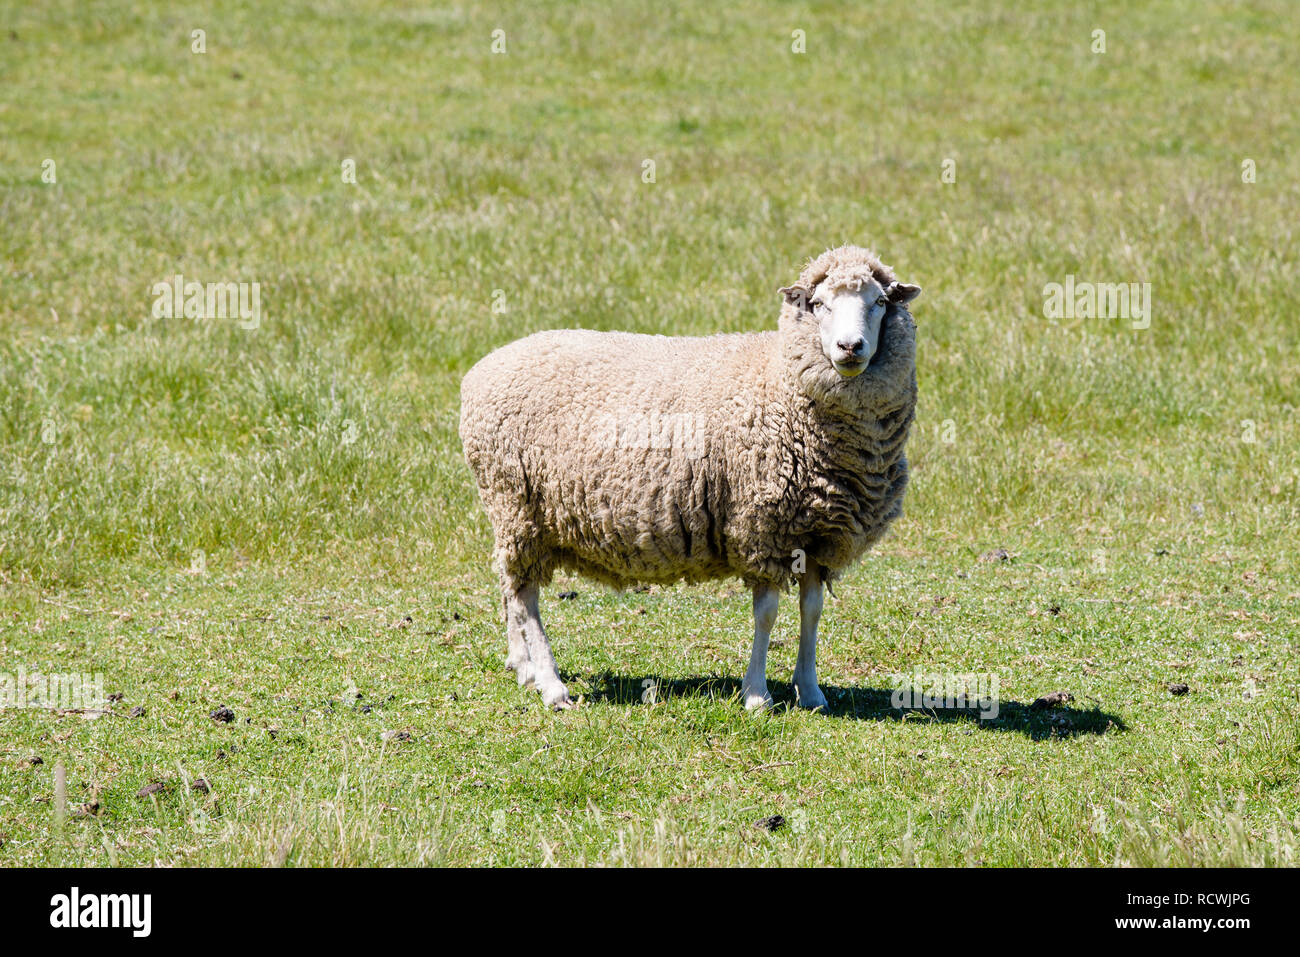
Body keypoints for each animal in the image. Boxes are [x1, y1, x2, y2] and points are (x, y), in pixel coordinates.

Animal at [459, 245, 921, 711]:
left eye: (879, 303)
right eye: (819, 304)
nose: (850, 347)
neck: (778, 382)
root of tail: (479, 371)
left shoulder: (817, 533)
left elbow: (812, 609)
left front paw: (809, 690)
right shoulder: (761, 527)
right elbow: (767, 613)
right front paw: (757, 694)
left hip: (515, 512)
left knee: (509, 585)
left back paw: (523, 666)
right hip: (517, 504)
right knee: (525, 597)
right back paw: (552, 685)